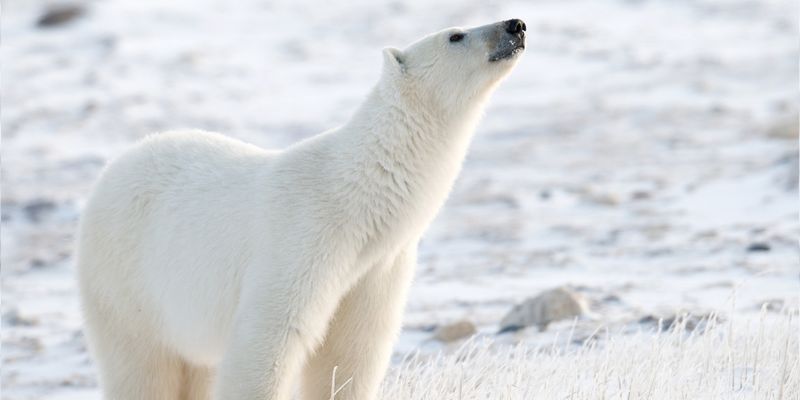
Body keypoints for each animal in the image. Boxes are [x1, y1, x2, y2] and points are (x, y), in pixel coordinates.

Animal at [77, 19, 526, 400]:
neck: (358, 195)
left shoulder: (376, 268)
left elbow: (351, 353)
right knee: (143, 367)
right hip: (127, 285)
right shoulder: (303, 239)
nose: (516, 24)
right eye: (455, 35)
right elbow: (269, 337)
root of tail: (107, 174)